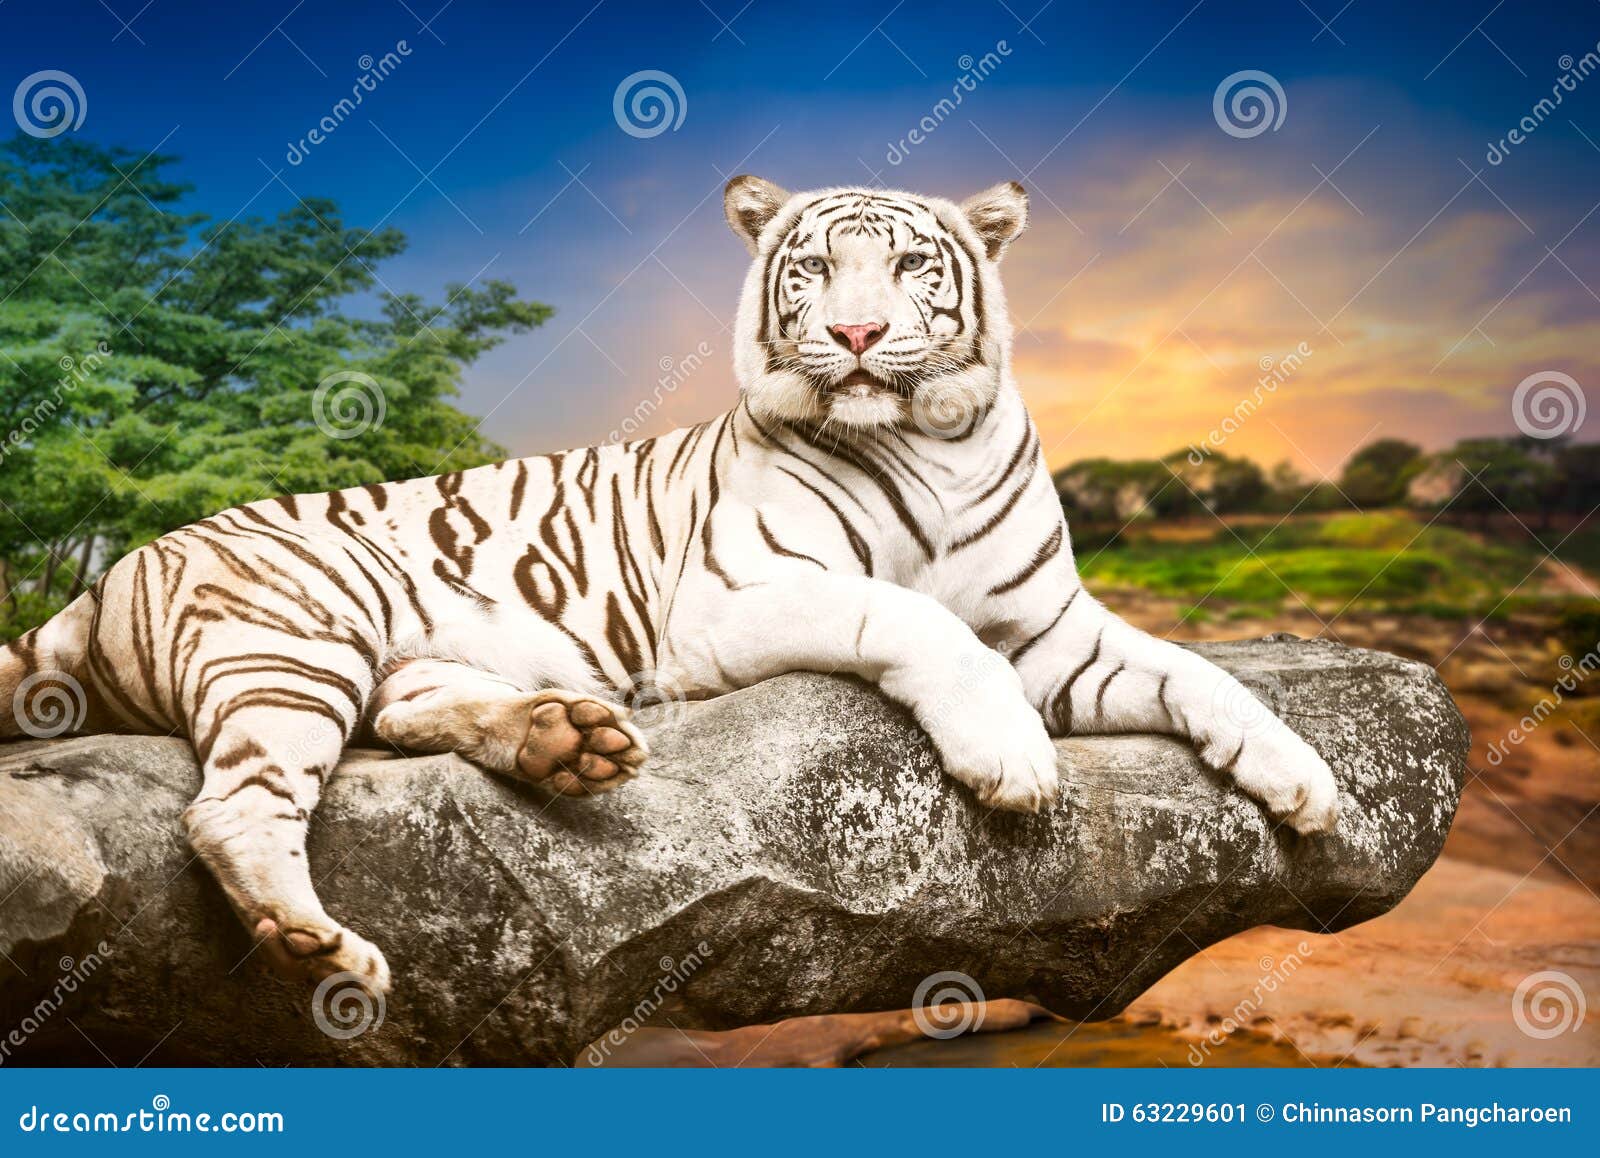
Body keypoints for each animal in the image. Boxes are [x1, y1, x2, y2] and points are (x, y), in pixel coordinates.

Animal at [0, 176, 1338, 996]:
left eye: (911, 263)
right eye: (813, 271)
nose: (856, 337)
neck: (936, 437)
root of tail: (121, 564)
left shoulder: (1054, 631)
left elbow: (1199, 676)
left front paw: (1310, 785)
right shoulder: (741, 597)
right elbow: (913, 616)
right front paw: (1010, 761)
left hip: (382, 657)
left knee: (406, 711)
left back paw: (564, 742)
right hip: (295, 638)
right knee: (232, 809)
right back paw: (320, 948)